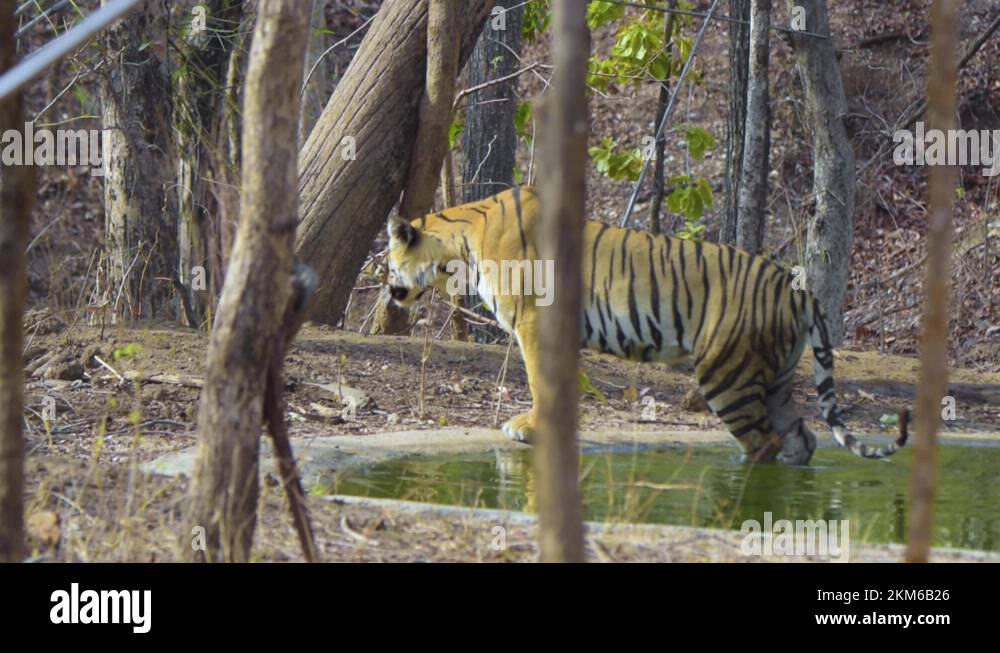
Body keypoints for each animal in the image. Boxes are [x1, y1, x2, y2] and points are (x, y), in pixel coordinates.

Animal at [386, 186, 908, 464]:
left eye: (390, 259)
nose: (387, 289)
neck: (459, 245)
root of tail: (794, 286)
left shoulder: (535, 322)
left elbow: (537, 380)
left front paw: (530, 427)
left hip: (727, 372)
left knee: (765, 439)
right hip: (773, 374)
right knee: (801, 437)